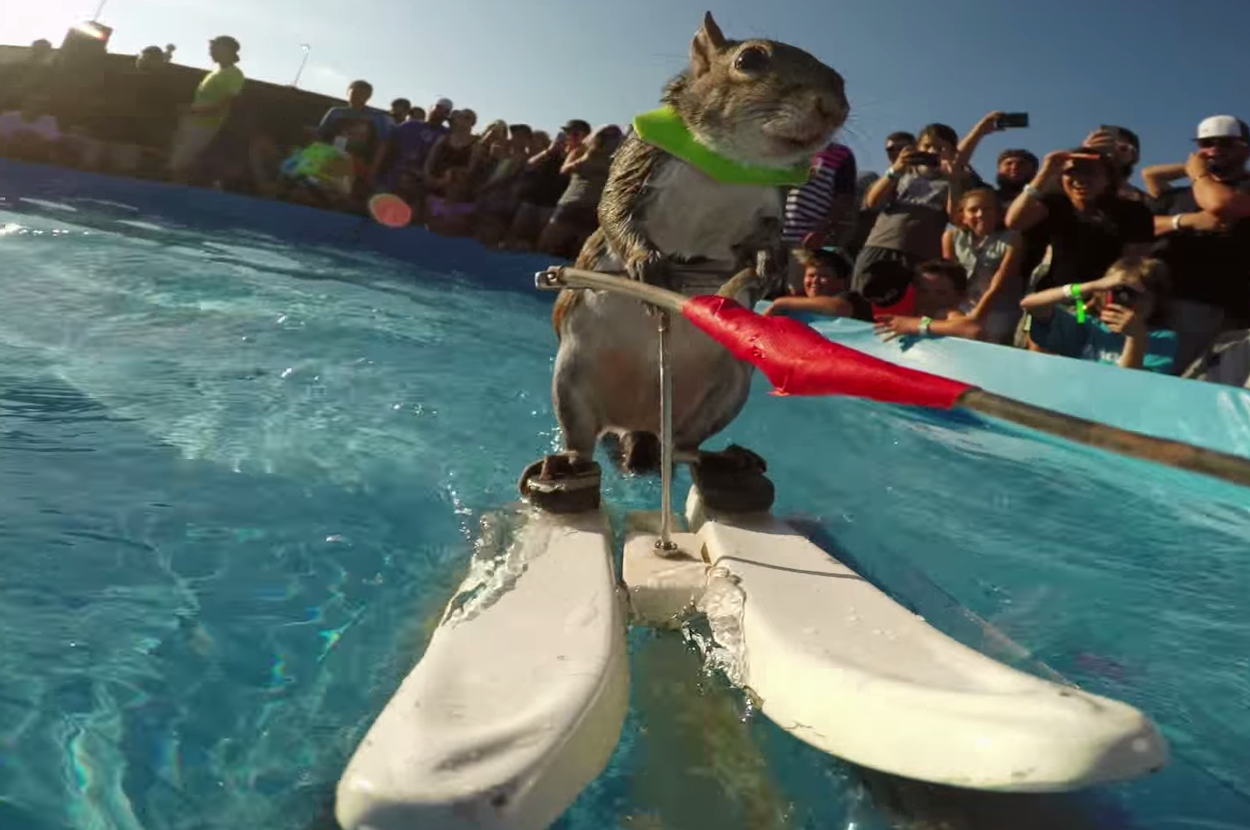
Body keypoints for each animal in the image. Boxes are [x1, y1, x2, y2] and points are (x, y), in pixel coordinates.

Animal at [521, 12, 848, 514]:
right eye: (749, 59)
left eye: (842, 81)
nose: (833, 108)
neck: (726, 163)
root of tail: (639, 423)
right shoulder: (639, 164)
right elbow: (614, 211)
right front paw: (647, 264)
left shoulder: (770, 207)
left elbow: (767, 238)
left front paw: (769, 264)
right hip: (572, 382)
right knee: (583, 443)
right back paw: (567, 465)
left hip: (727, 390)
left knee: (684, 449)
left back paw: (724, 460)